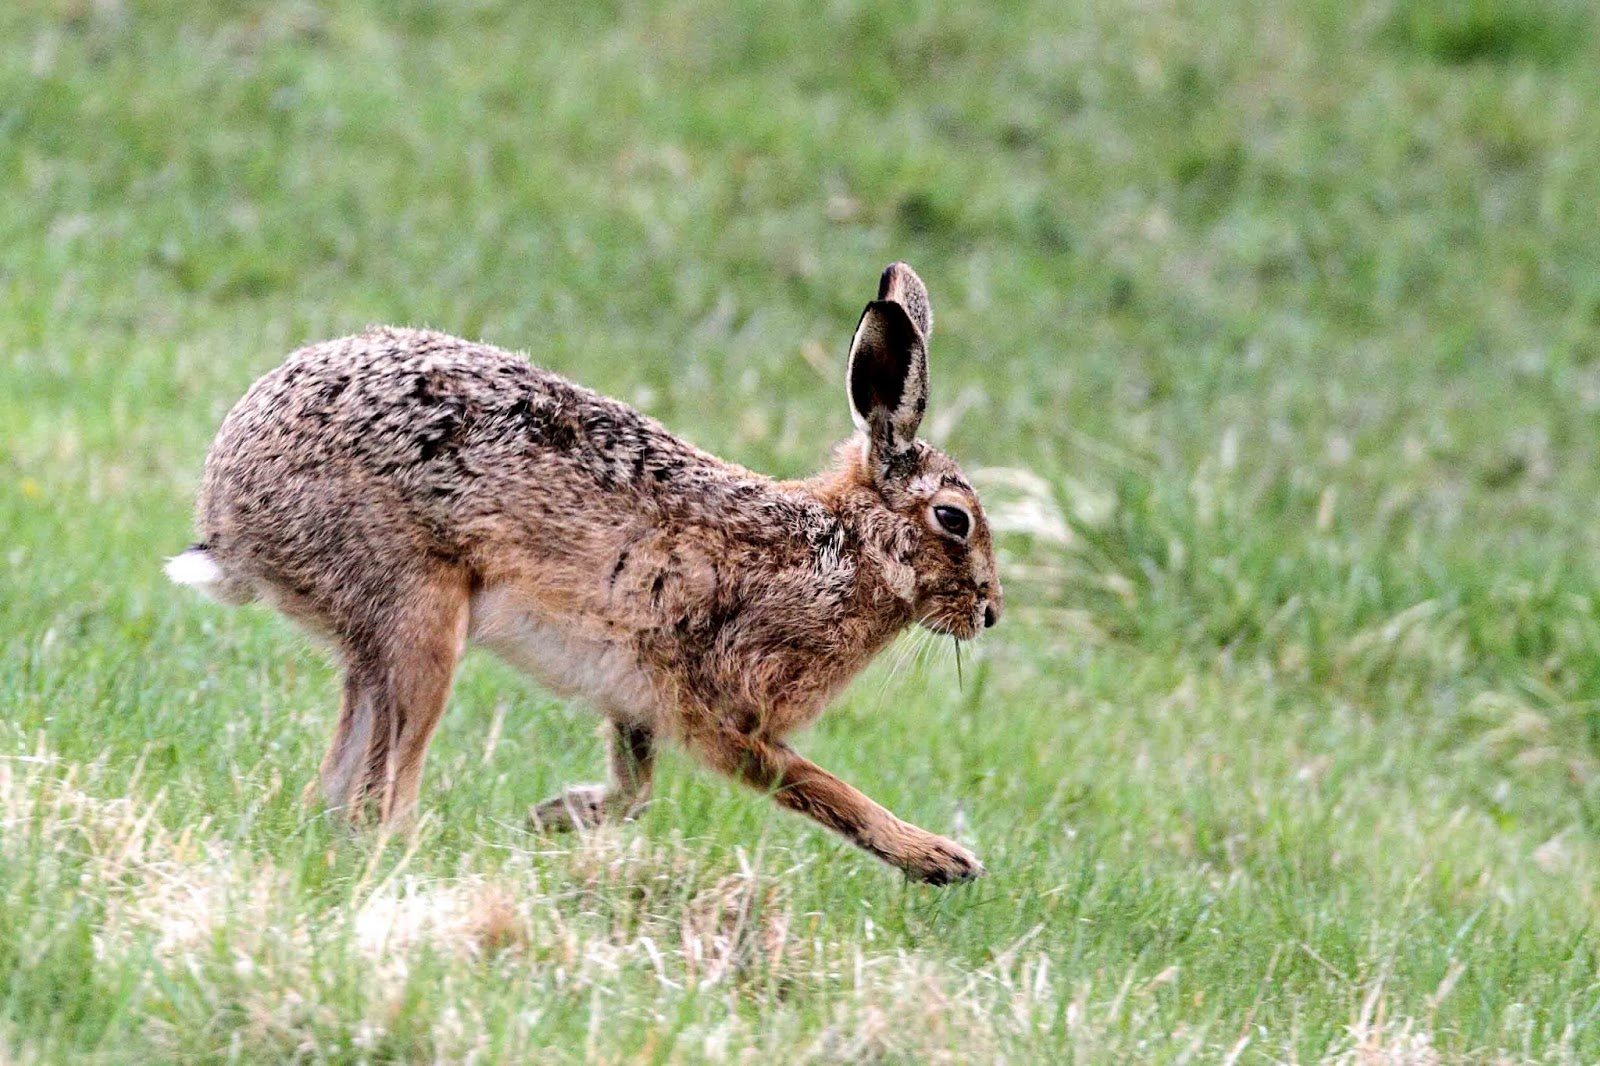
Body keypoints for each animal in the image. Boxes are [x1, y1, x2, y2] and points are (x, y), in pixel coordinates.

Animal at [167, 262, 1001, 884]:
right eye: (953, 520)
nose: (990, 613)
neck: (844, 550)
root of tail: (228, 506)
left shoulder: (638, 701)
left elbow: (636, 789)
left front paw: (556, 817)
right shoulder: (724, 708)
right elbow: (814, 787)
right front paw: (942, 860)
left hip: (378, 643)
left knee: (341, 778)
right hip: (422, 617)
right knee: (380, 788)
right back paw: (412, 856)